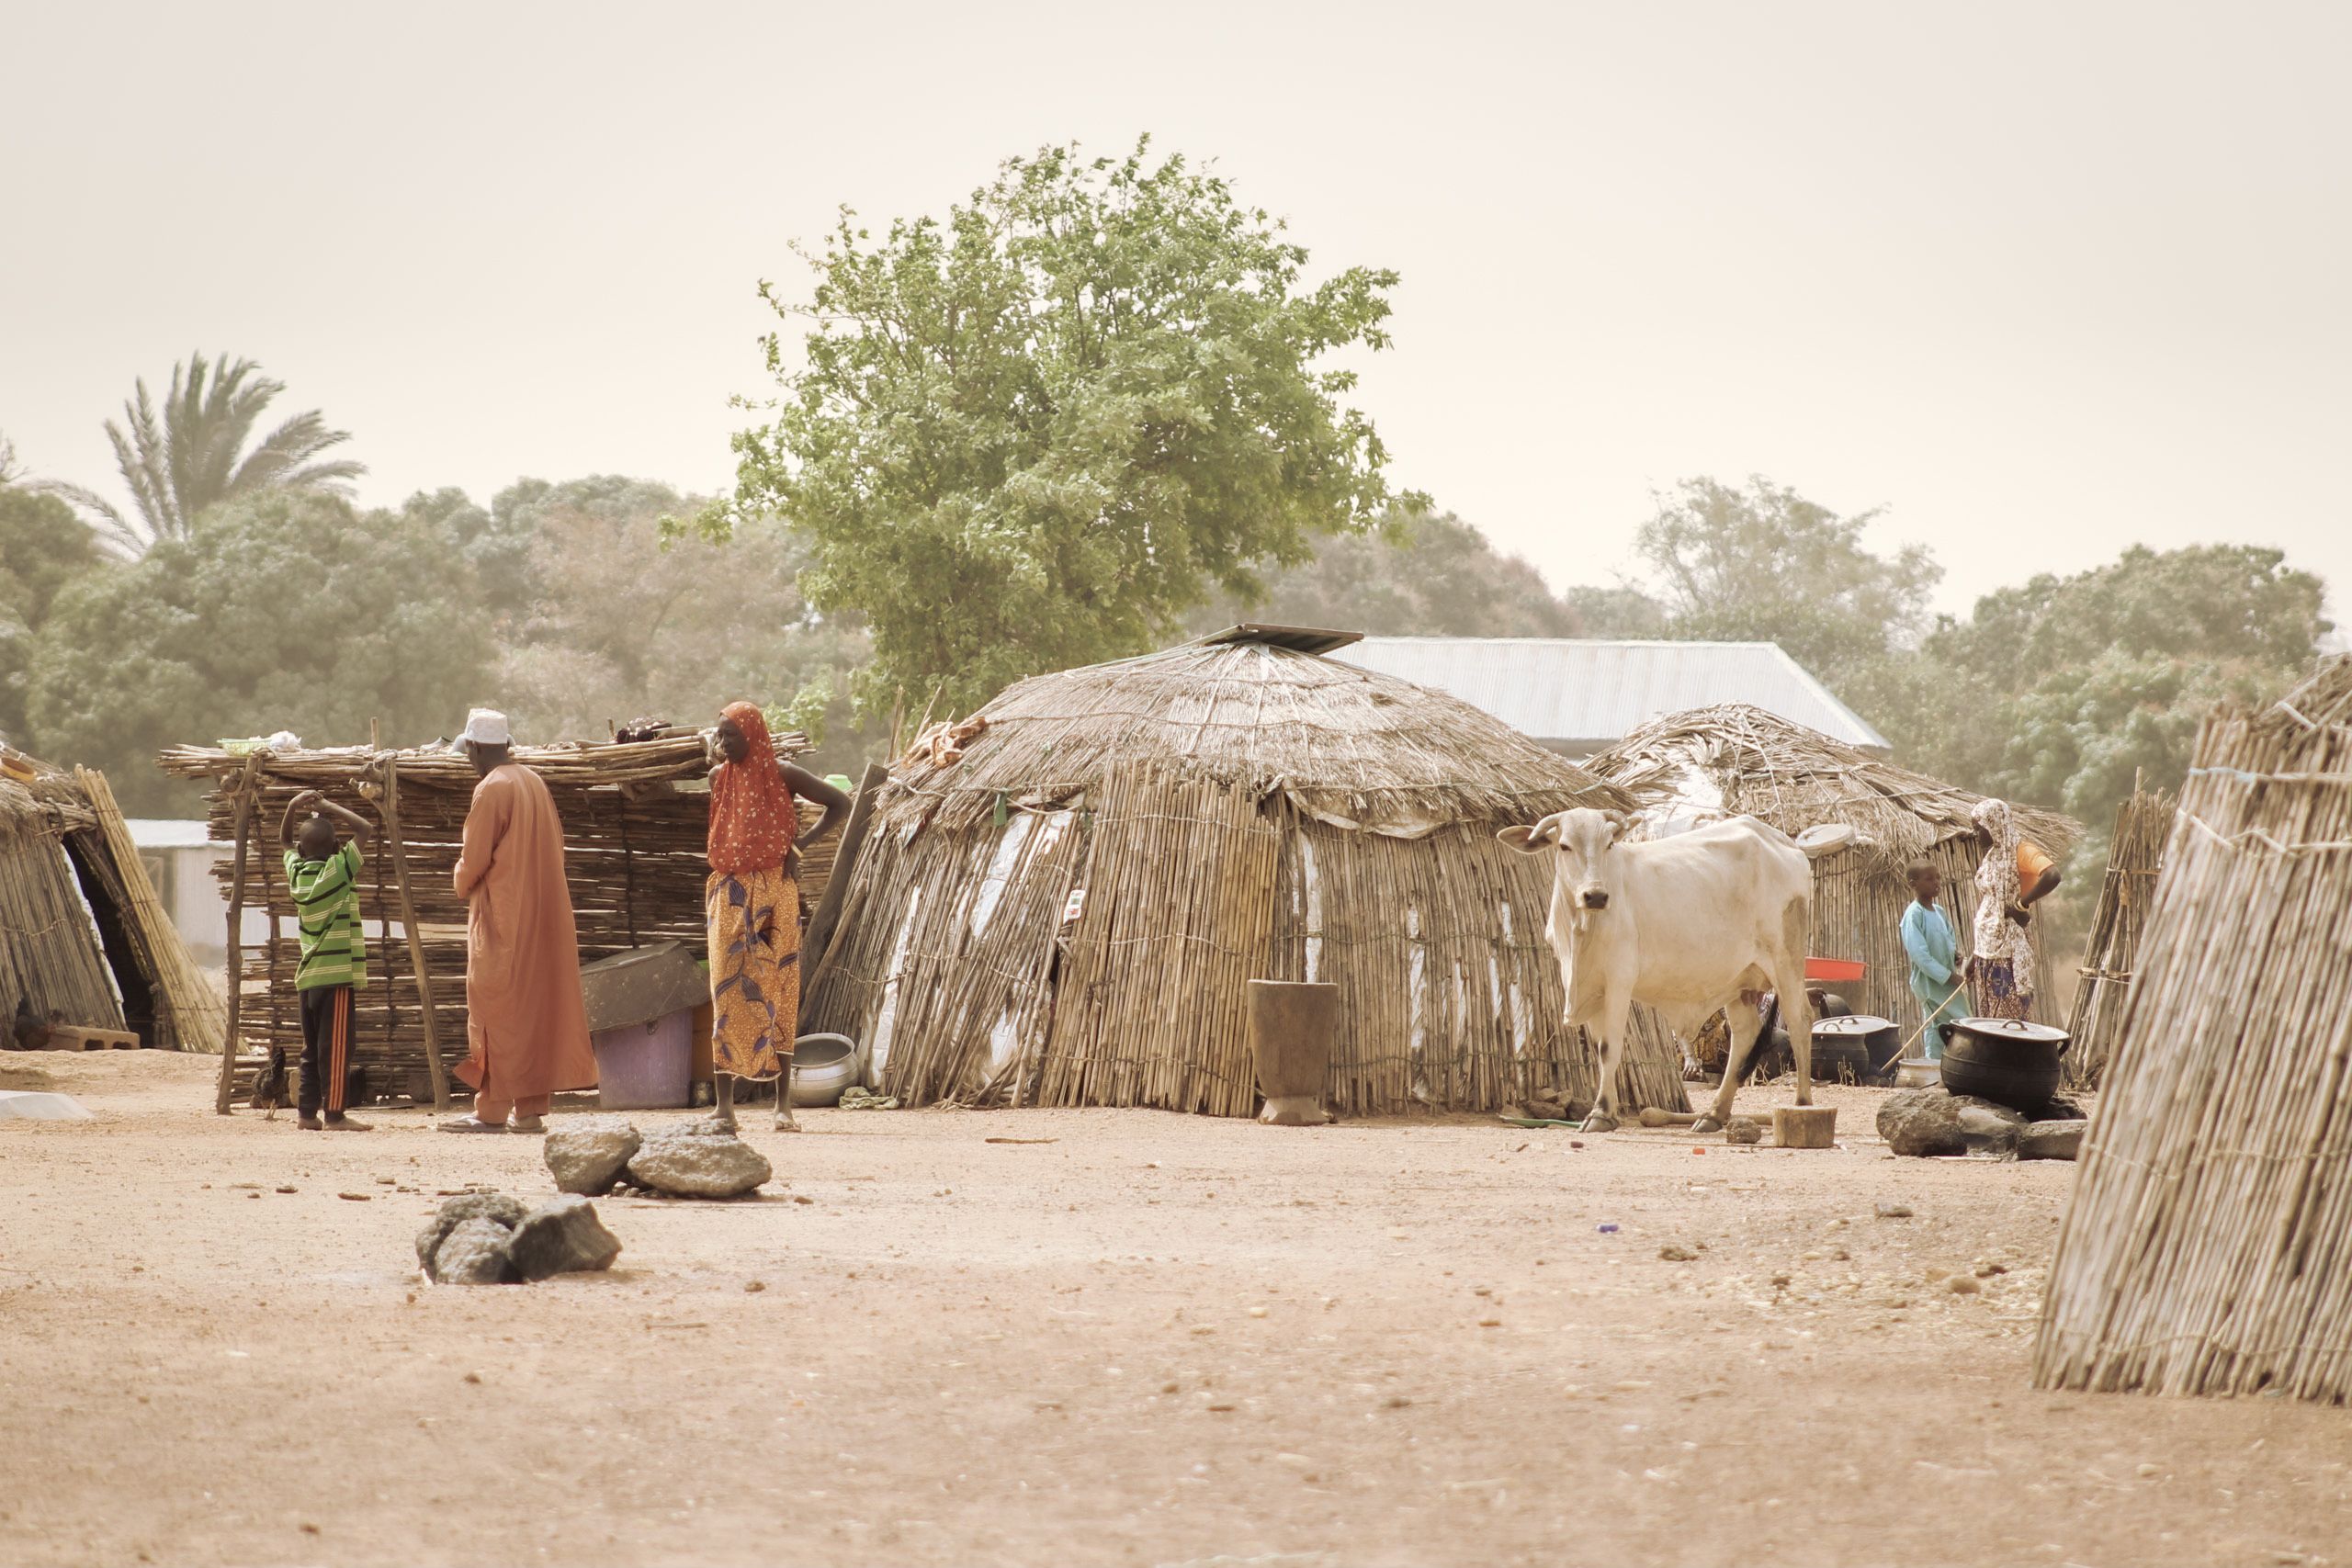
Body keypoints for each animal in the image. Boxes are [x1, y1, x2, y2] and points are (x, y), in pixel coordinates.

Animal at [1498, 807, 1851, 1134]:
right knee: (1745, 1033)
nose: (1595, 895)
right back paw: (1714, 1114)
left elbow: (1610, 1048)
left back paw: (1801, 1104)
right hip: (1740, 981)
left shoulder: (1618, 982)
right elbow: (1600, 1049)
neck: (1581, 929)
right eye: (1564, 845)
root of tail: (1783, 842)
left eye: (1609, 843)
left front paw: (1600, 1114)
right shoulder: (1593, 989)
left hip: (1785, 961)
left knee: (1800, 1020)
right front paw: (1605, 1111)